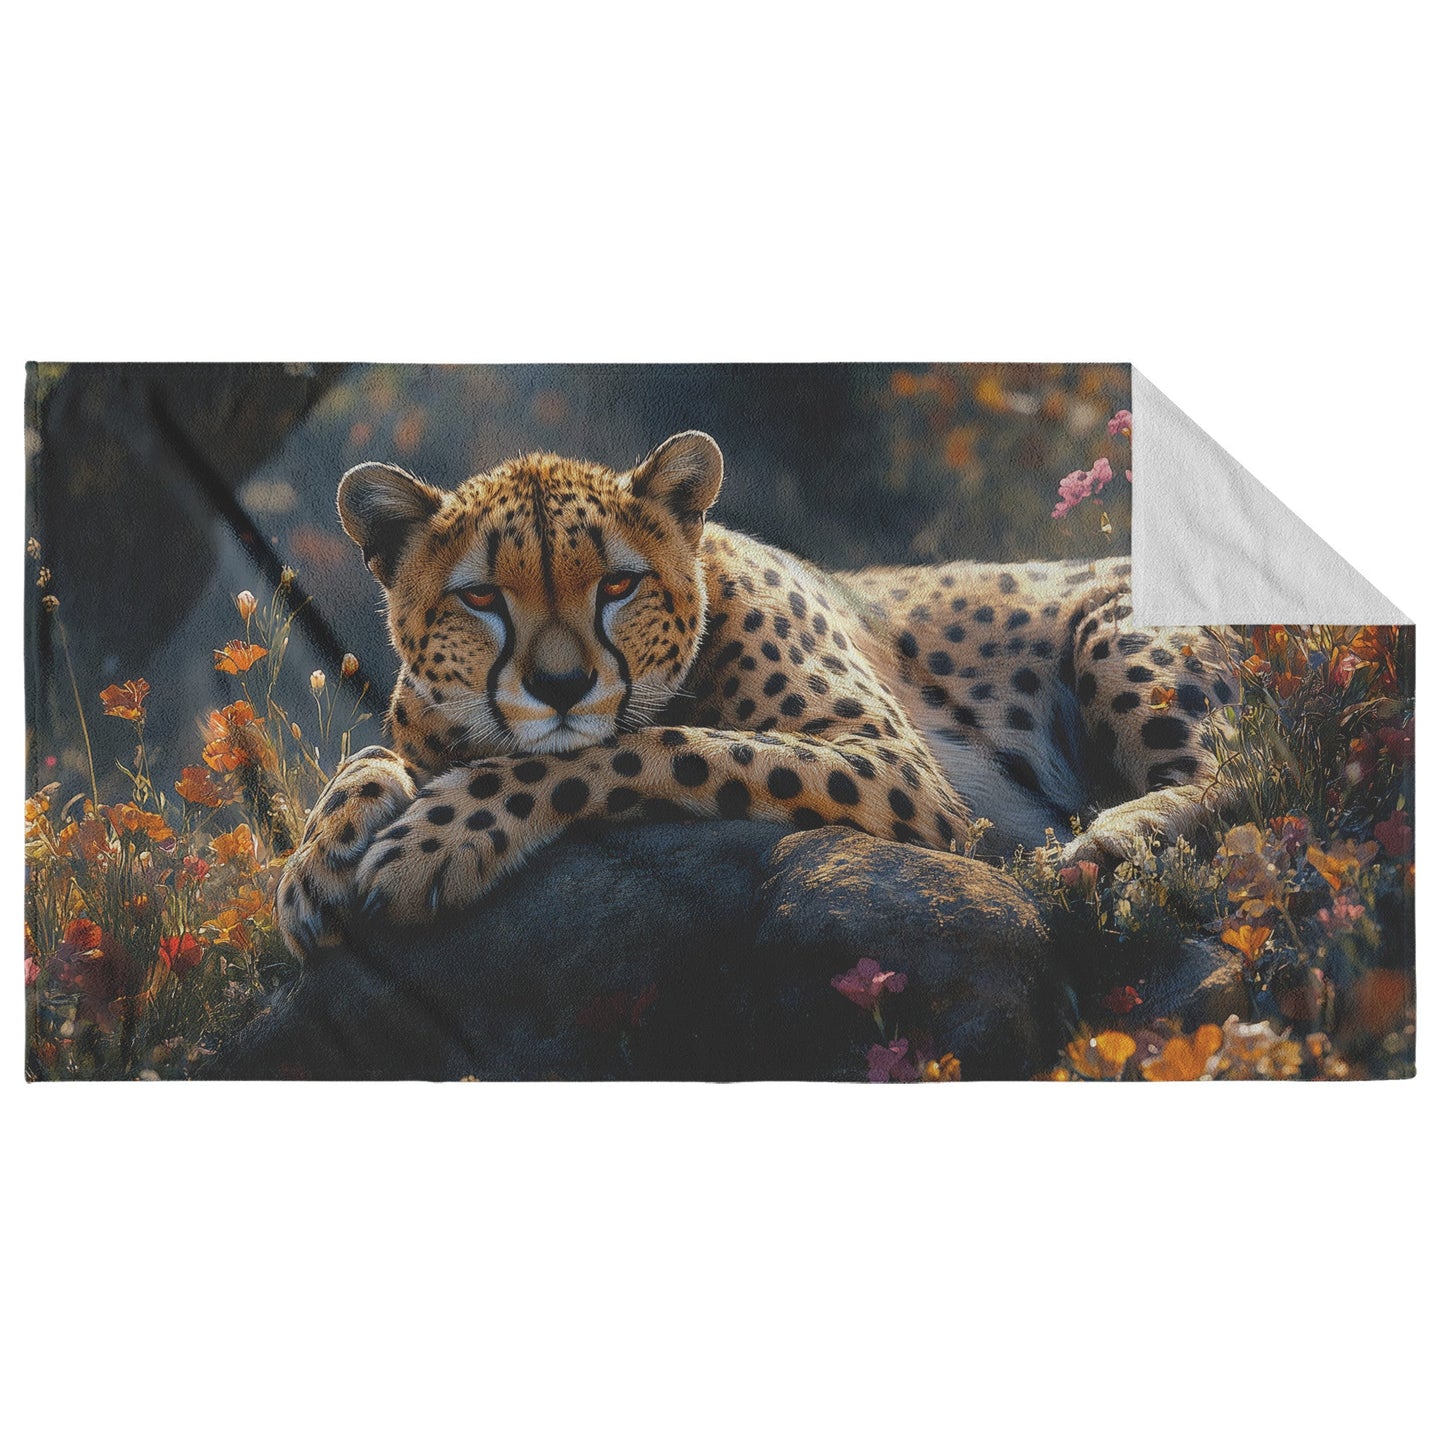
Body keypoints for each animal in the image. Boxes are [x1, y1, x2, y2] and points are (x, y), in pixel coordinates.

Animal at [277, 430, 1239, 959]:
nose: (560, 686)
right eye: (480, 597)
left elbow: (639, 746)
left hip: (1109, 623)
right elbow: (372, 753)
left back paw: (1108, 838)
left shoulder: (896, 765)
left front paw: (435, 838)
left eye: (618, 584)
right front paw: (314, 862)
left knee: (1236, 775)